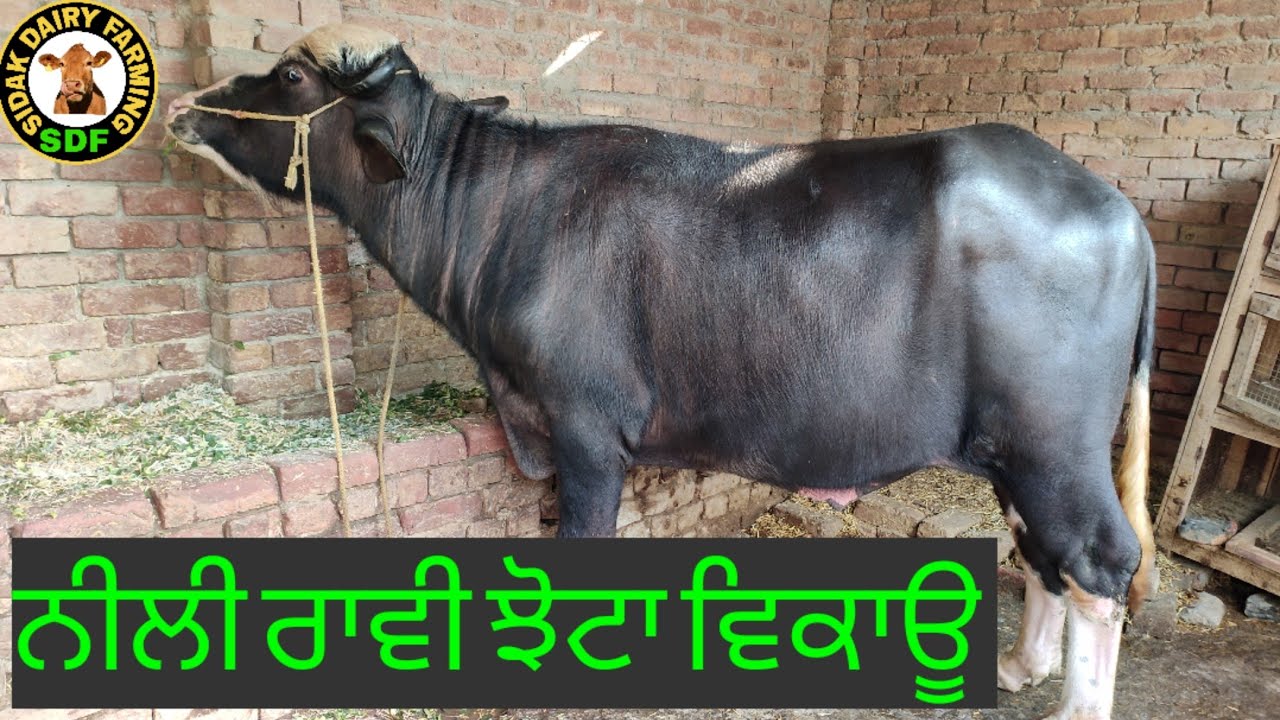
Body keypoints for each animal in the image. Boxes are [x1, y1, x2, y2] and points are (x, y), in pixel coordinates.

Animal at [165, 24, 1157, 720]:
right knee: (1041, 554)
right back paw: (1020, 665)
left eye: (290, 78)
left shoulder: (585, 429)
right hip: (1014, 453)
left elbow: (581, 553)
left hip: (1055, 447)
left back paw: (1073, 702)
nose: (181, 109)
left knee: (1099, 564)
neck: (498, 214)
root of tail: (1115, 206)